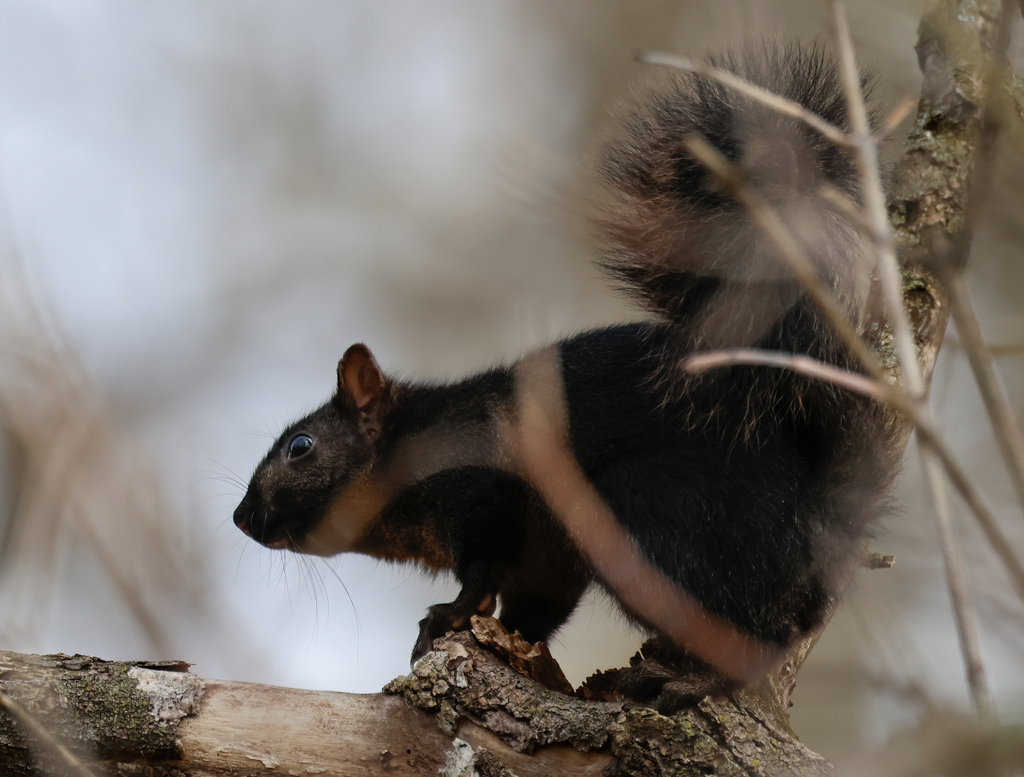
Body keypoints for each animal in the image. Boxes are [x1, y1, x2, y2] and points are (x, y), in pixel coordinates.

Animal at [233, 43, 901, 709]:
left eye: (301, 446)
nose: (241, 518)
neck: (414, 444)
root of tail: (825, 510)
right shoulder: (547, 557)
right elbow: (534, 609)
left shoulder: (489, 489)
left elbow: (481, 572)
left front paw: (448, 614)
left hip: (652, 517)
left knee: (753, 635)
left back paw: (691, 679)